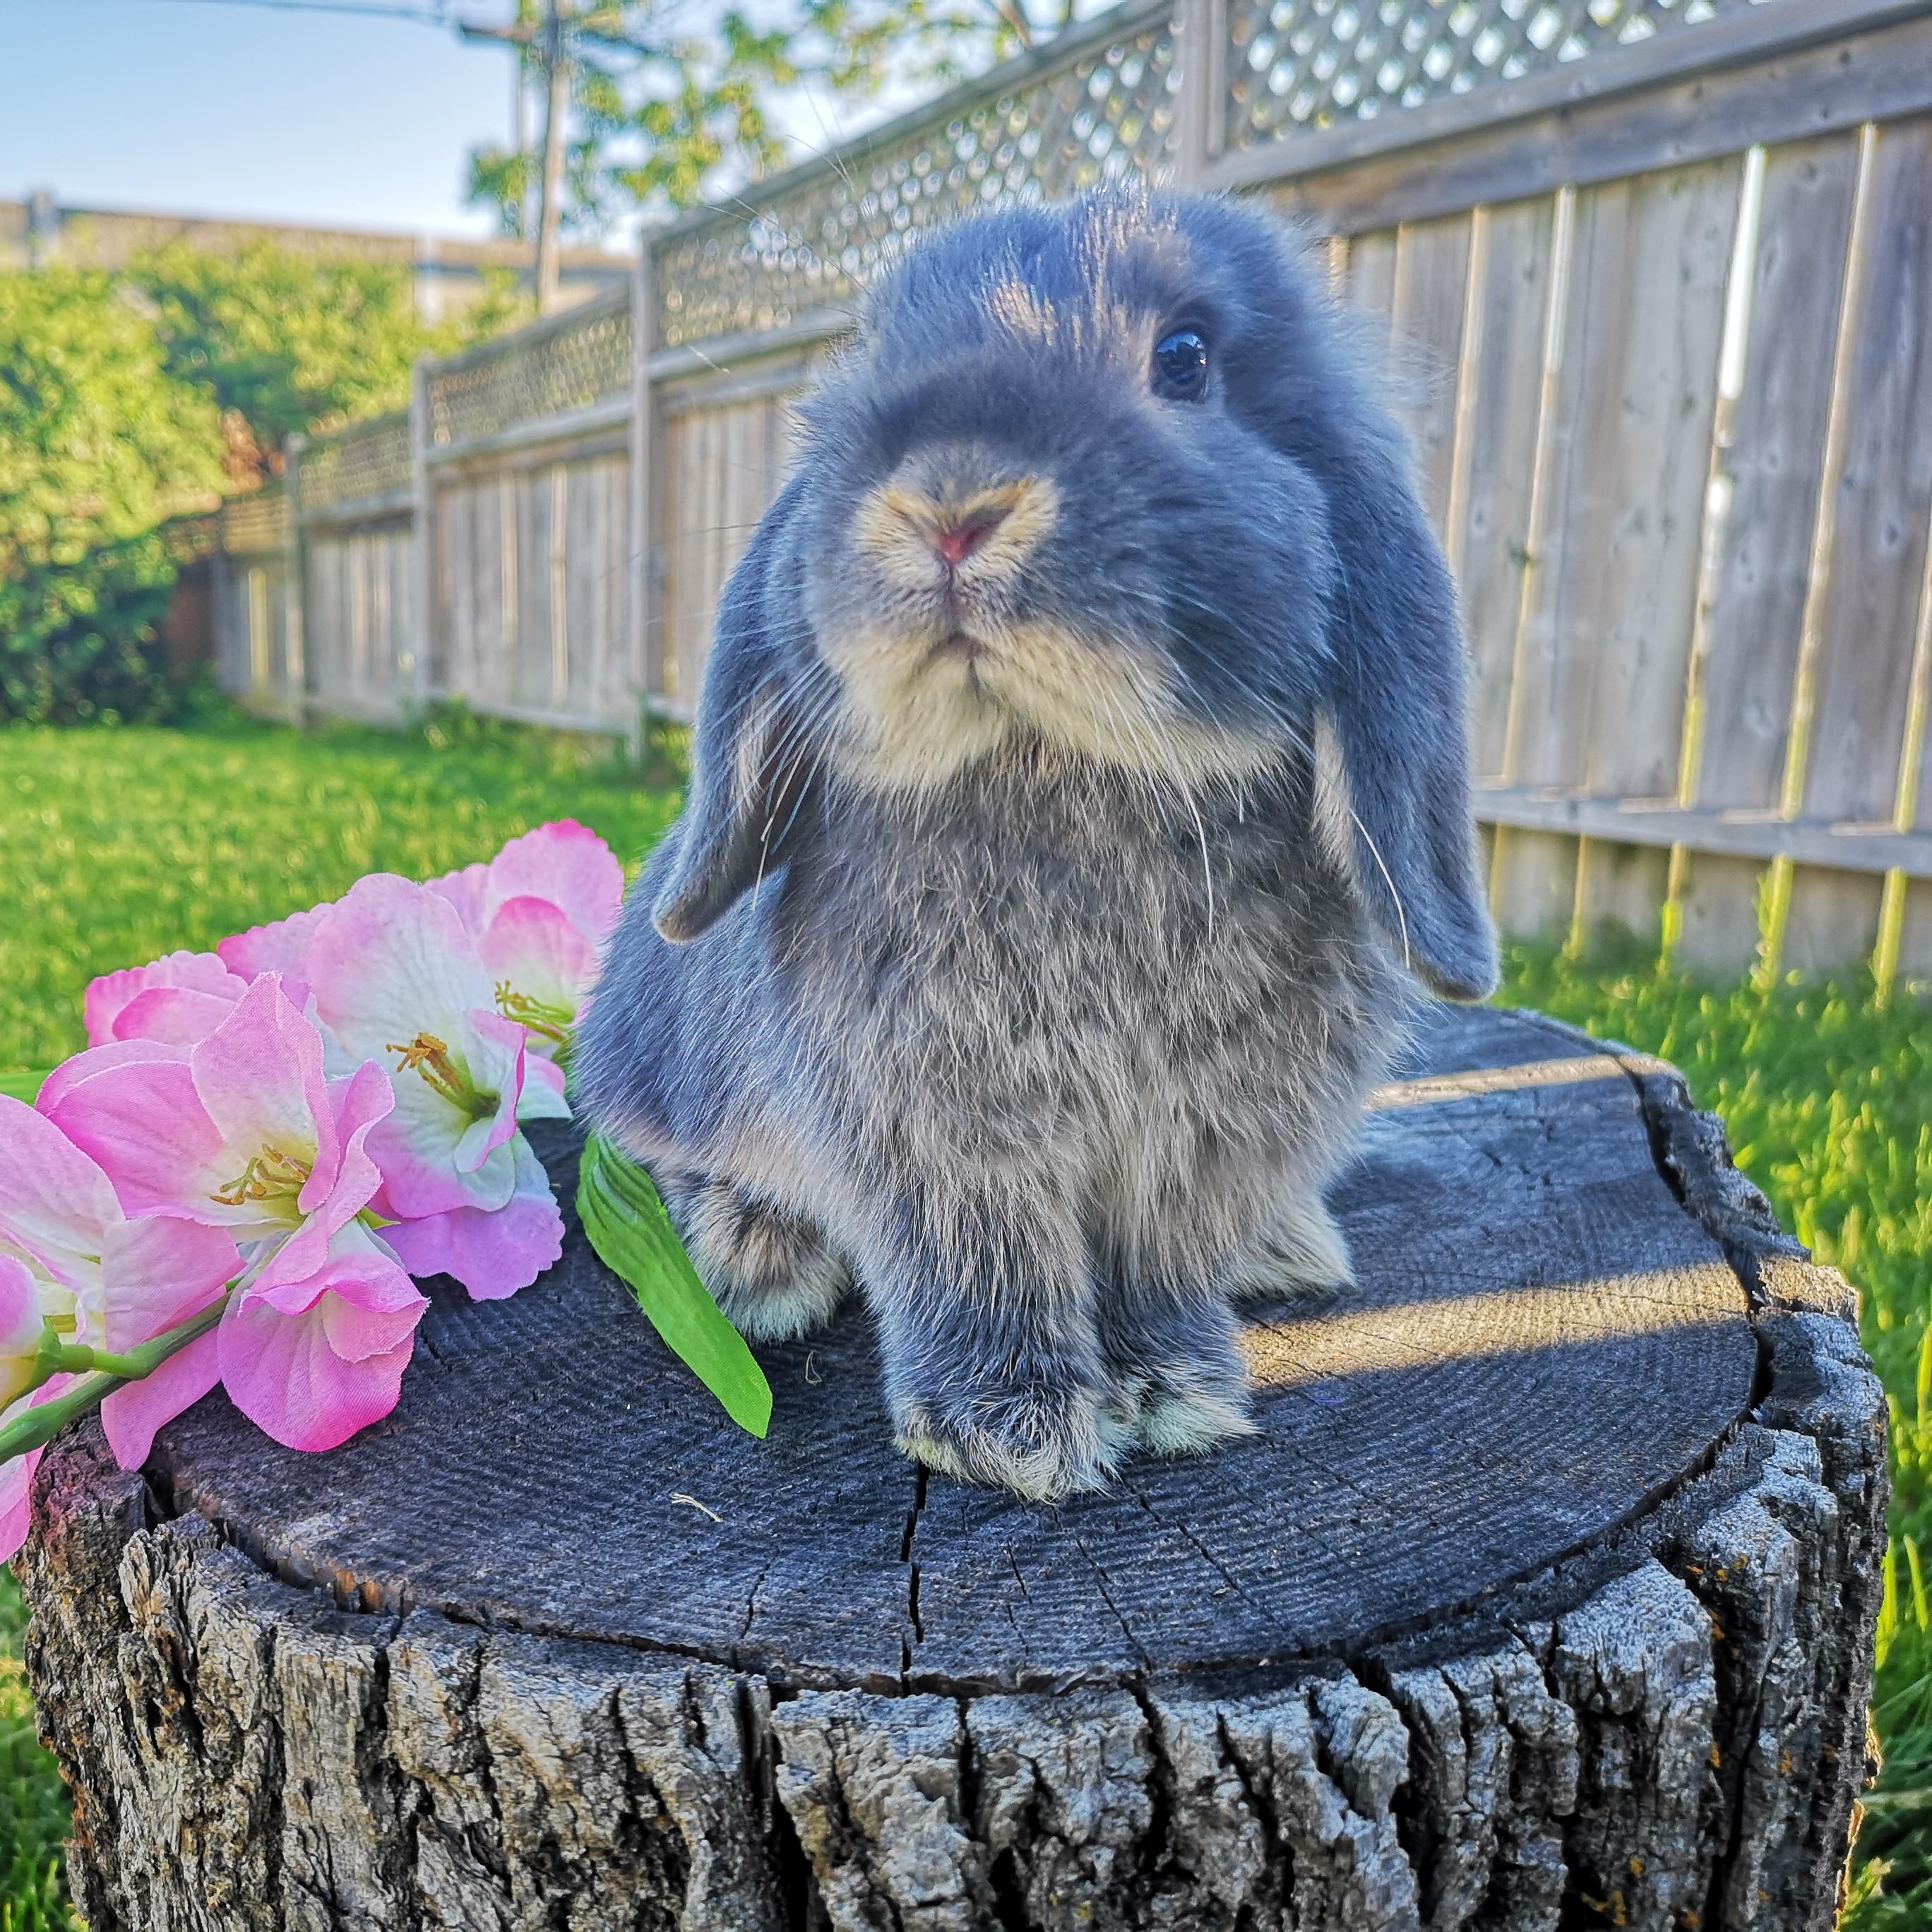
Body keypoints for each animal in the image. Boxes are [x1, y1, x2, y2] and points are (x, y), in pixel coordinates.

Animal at [575, 188, 1497, 1502]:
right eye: (872, 354)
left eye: (1186, 358)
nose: (951, 505)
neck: (1056, 766)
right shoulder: (937, 1142)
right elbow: (982, 1266)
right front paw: (1008, 1427)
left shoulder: (1201, 1145)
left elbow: (1162, 1269)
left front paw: (1176, 1389)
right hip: (663, 1075)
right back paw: (758, 1256)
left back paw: (1288, 1245)